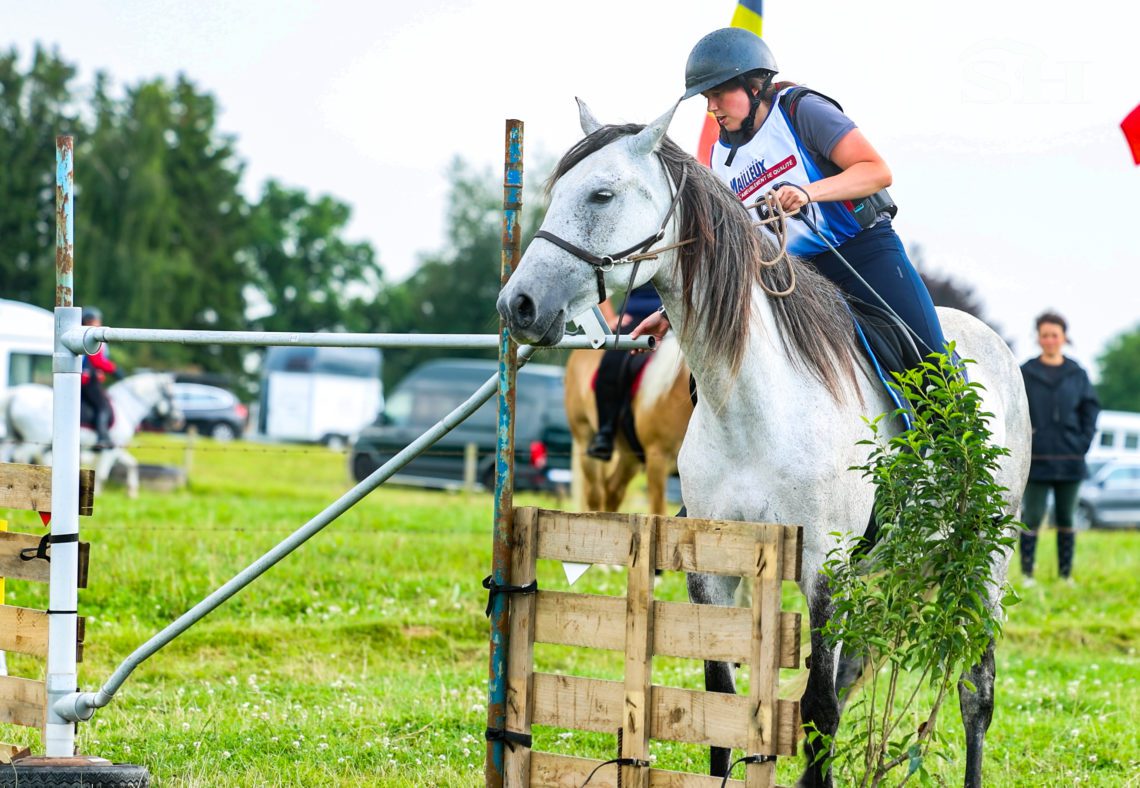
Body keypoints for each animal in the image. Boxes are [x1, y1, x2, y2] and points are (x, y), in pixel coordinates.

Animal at [1, 372, 181, 498]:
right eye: (171, 395)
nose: (178, 420)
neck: (126, 406)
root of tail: (14, 395)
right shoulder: (110, 450)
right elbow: (103, 474)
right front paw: (99, 495)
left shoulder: (117, 449)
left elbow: (132, 464)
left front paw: (132, 491)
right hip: (35, 440)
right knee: (22, 457)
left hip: (17, 439)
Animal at [564, 333, 693, 516]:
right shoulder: (657, 459)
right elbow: (658, 511)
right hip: (585, 440)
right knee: (595, 494)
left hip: (629, 456)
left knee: (613, 490)